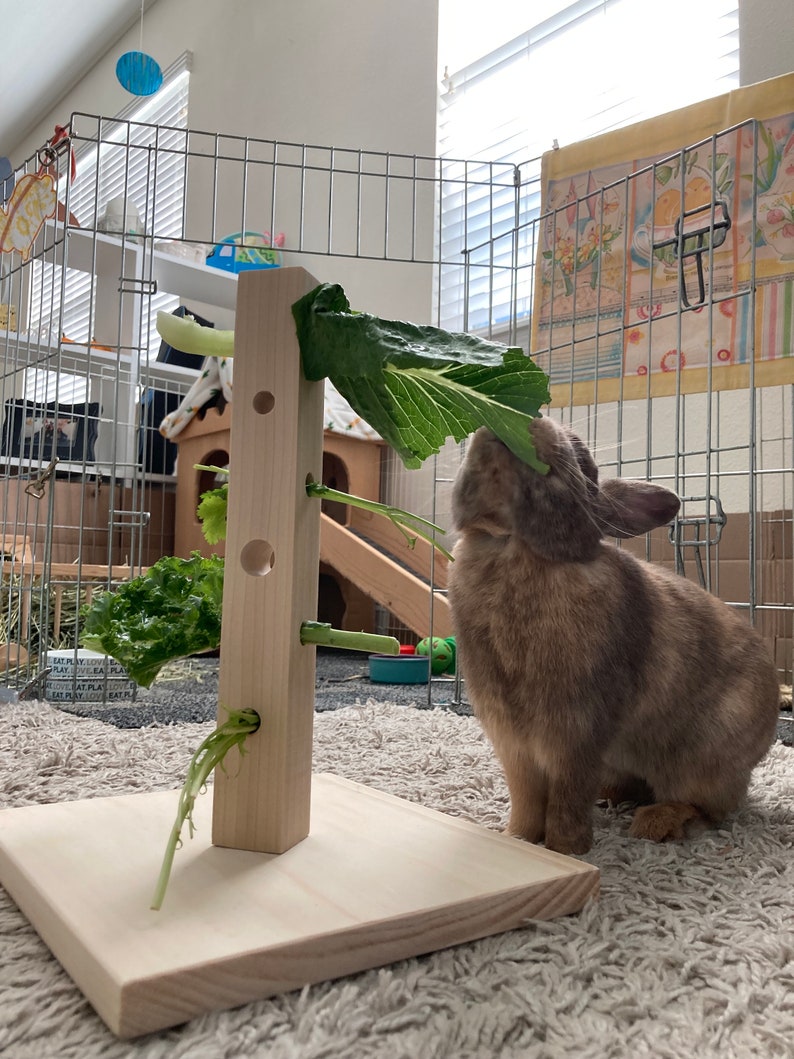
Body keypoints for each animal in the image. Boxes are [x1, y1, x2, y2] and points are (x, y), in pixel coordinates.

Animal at [448, 415, 781, 855]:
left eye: (581, 455)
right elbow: (526, 798)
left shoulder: (577, 732)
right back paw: (611, 799)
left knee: (707, 809)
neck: (516, 547)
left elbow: (567, 797)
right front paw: (516, 839)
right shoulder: (511, 740)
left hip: (703, 762)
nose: (529, 419)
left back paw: (655, 824)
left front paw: (566, 849)